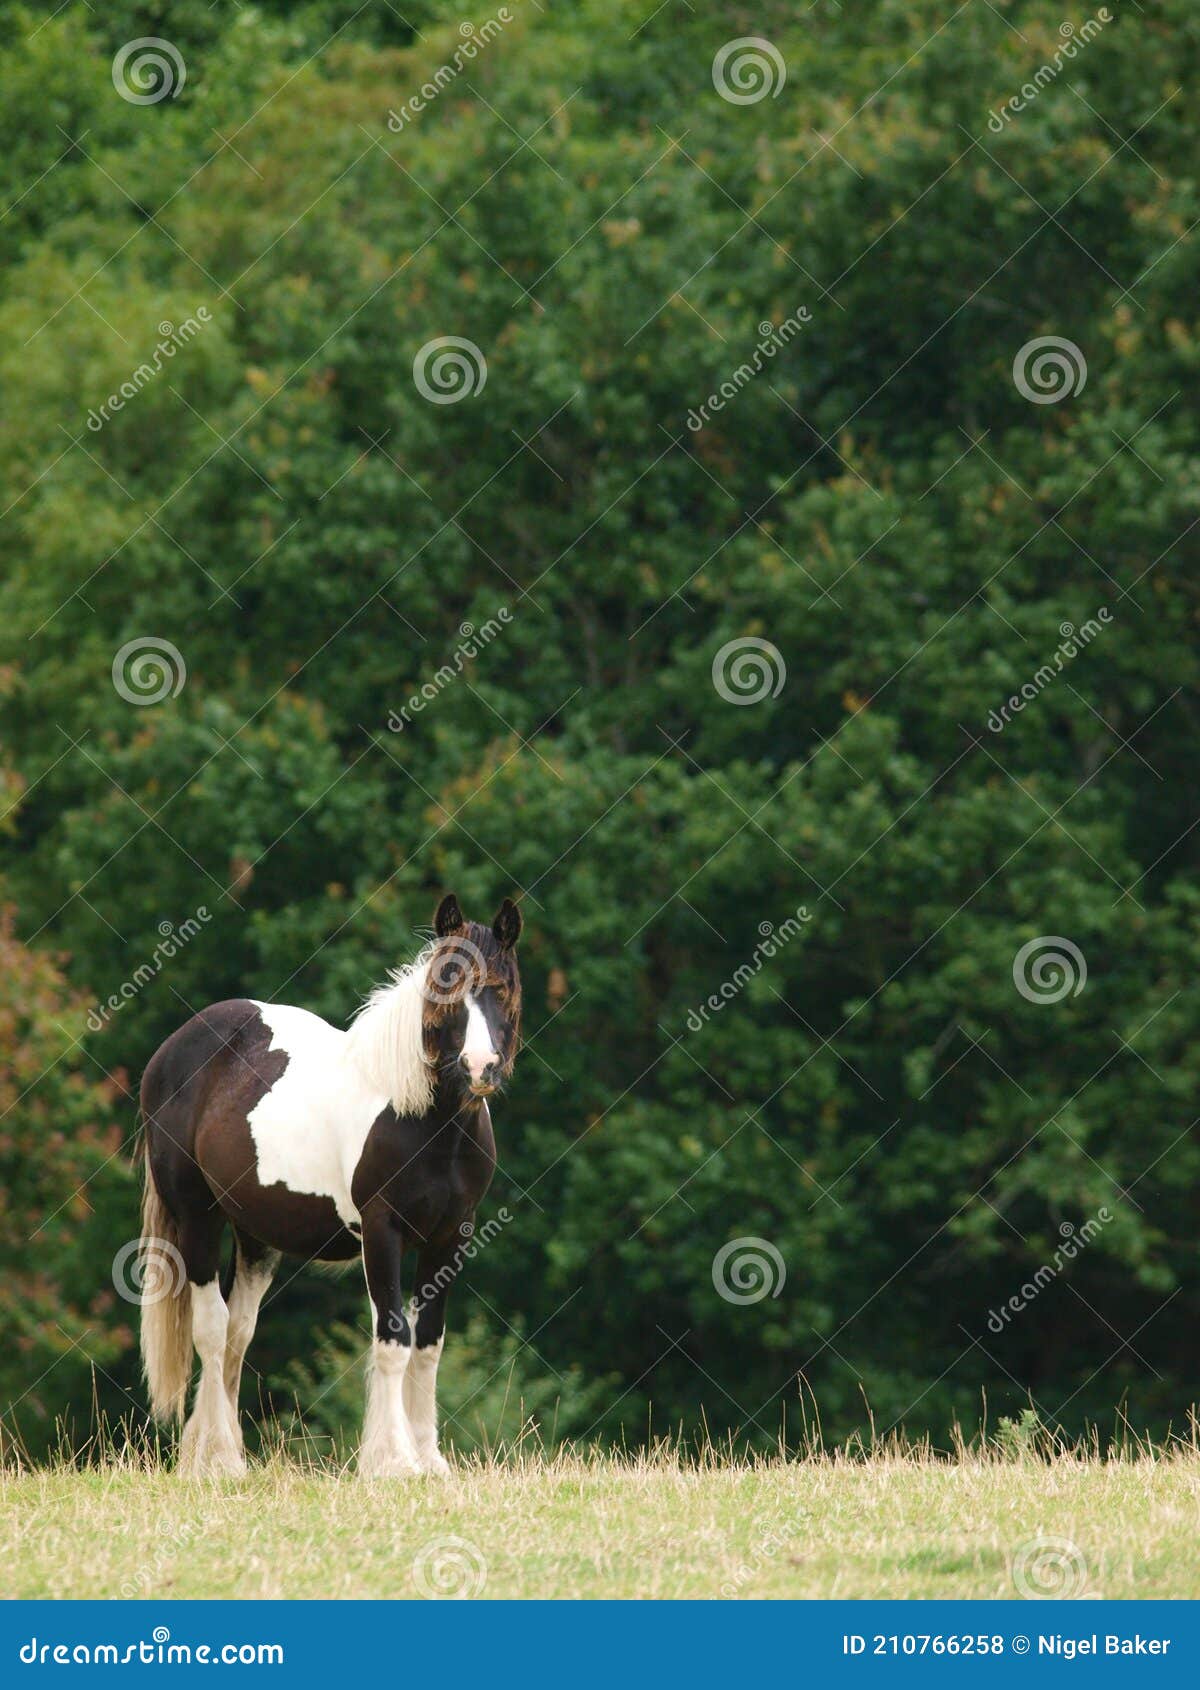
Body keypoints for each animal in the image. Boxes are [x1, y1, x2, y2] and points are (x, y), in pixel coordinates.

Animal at [136, 892, 522, 1477]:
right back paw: (221, 1459)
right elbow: (393, 1339)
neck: (421, 1116)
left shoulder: (451, 1236)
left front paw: (428, 1460)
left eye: (500, 988)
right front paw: (393, 1463)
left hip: (256, 1237)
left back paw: (210, 1454)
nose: (480, 1067)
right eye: (446, 988)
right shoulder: (382, 1230)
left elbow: (427, 1344)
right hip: (194, 1218)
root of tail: (172, 1050)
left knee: (237, 1332)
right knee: (211, 1326)